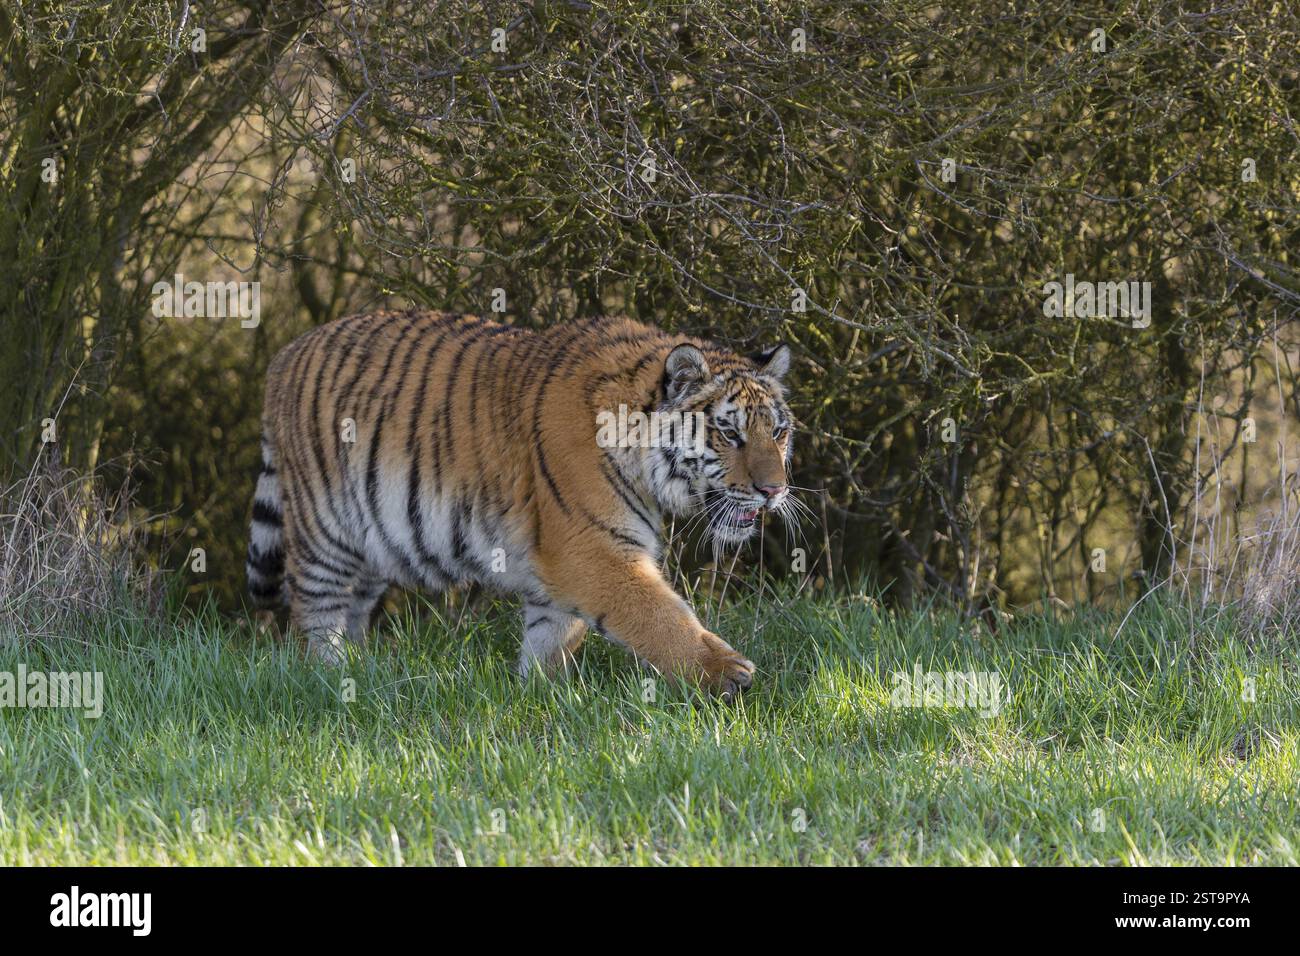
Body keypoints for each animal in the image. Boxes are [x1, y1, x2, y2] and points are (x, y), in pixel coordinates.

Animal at [245, 311, 794, 698]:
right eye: (729, 433)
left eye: (779, 432)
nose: (774, 490)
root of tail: (284, 355)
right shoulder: (592, 549)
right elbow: (658, 615)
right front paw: (725, 672)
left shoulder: (566, 559)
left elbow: (553, 634)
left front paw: (541, 694)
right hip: (324, 530)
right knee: (315, 612)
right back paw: (331, 673)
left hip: (373, 537)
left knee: (355, 606)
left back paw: (363, 668)